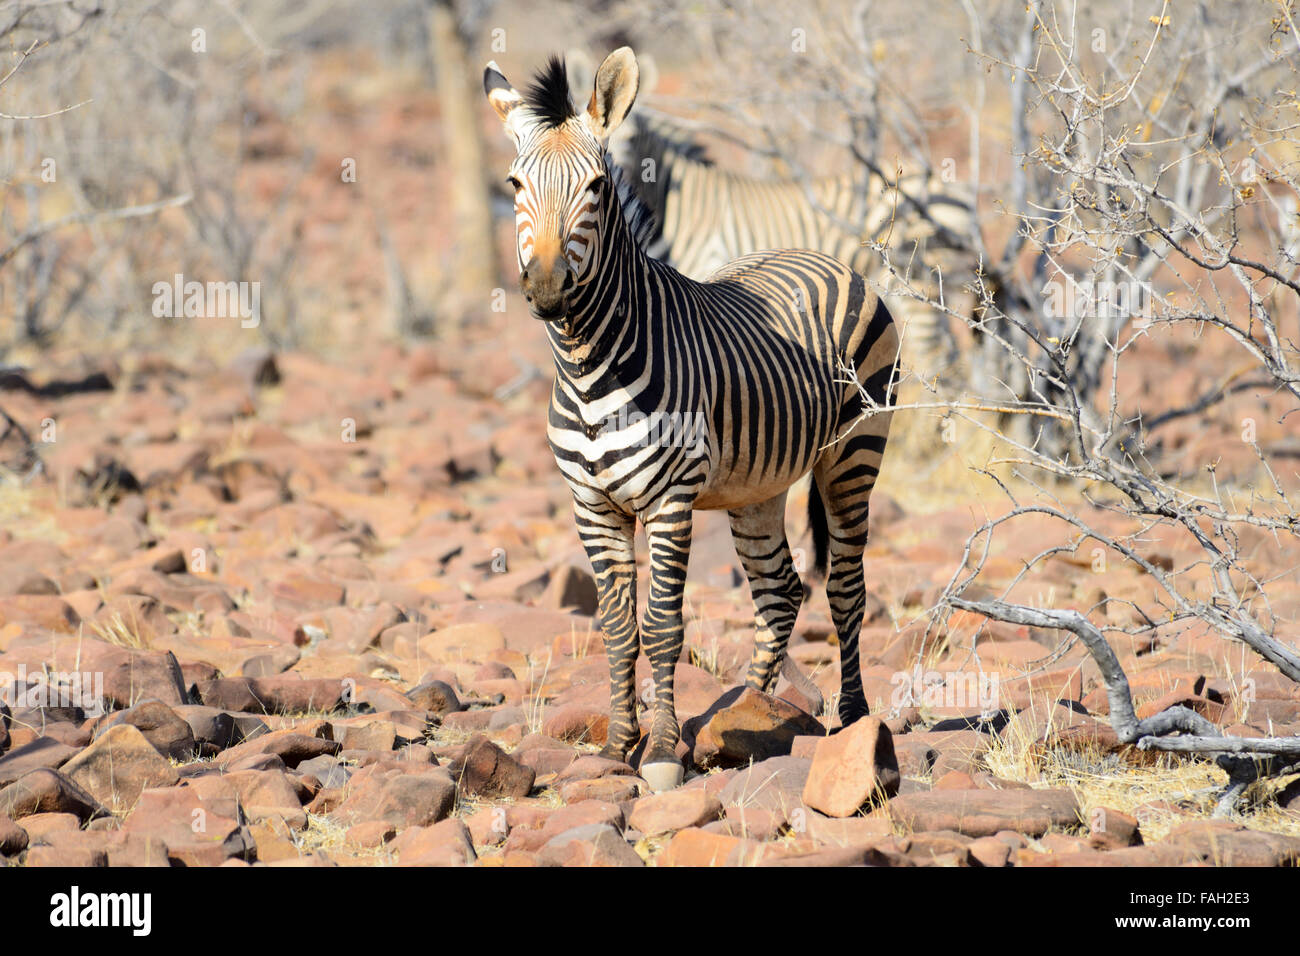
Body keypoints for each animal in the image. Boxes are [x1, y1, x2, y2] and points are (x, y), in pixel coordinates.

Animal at [483, 49, 899, 791]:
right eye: (514, 183)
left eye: (597, 186)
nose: (549, 289)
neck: (588, 368)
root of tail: (824, 258)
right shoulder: (590, 503)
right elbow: (618, 626)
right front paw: (618, 745)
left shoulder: (671, 499)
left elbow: (661, 626)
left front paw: (661, 752)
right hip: (758, 487)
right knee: (780, 591)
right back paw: (750, 709)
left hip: (854, 455)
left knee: (846, 587)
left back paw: (851, 717)